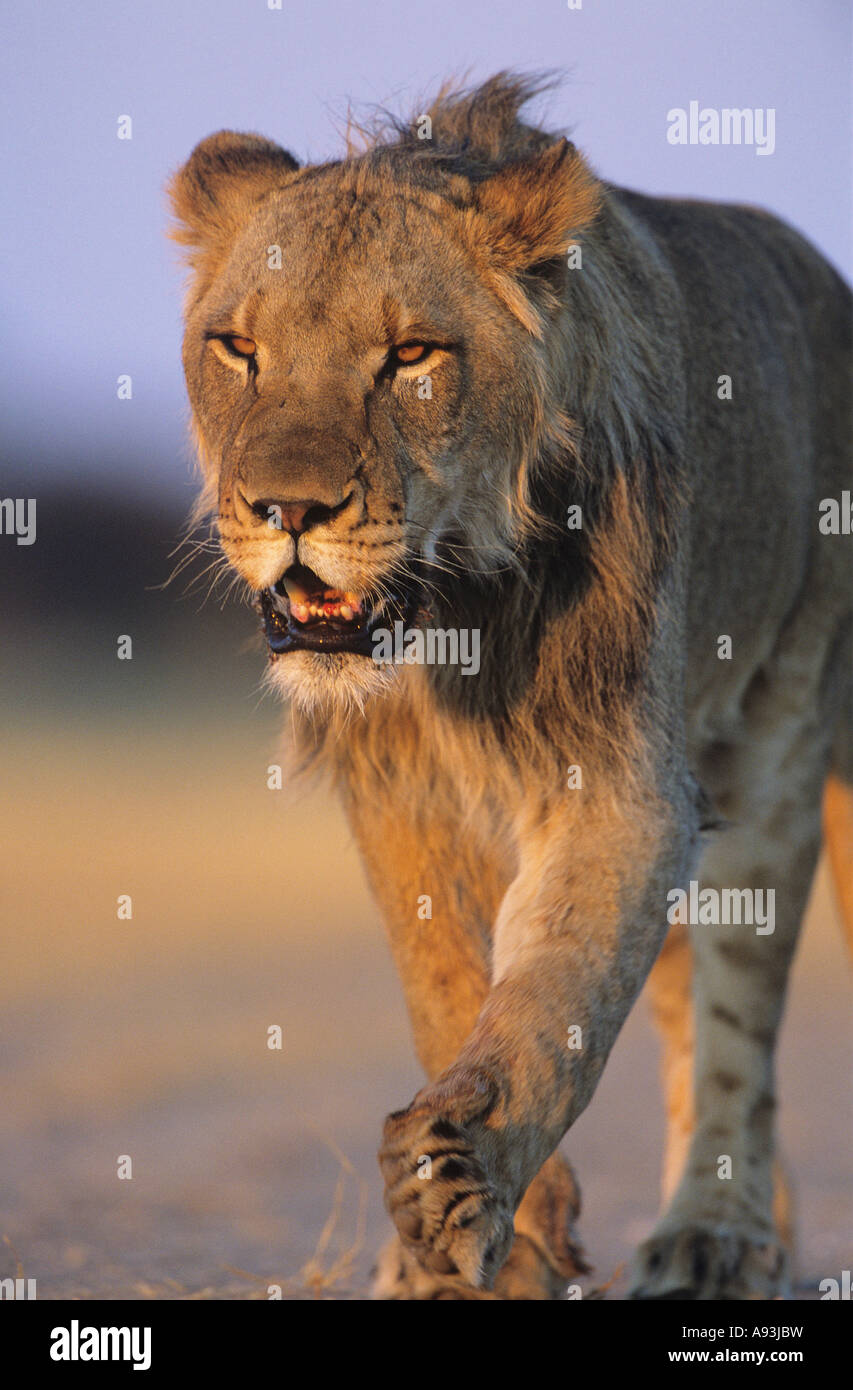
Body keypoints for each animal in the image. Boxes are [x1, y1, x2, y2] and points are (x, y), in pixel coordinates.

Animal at [169, 73, 853, 1299]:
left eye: (410, 355)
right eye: (237, 347)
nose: (286, 509)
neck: (451, 629)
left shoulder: (623, 783)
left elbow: (552, 996)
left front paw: (458, 1177)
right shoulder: (396, 794)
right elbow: (446, 986)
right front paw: (489, 1244)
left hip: (783, 737)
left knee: (736, 1017)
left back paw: (716, 1236)